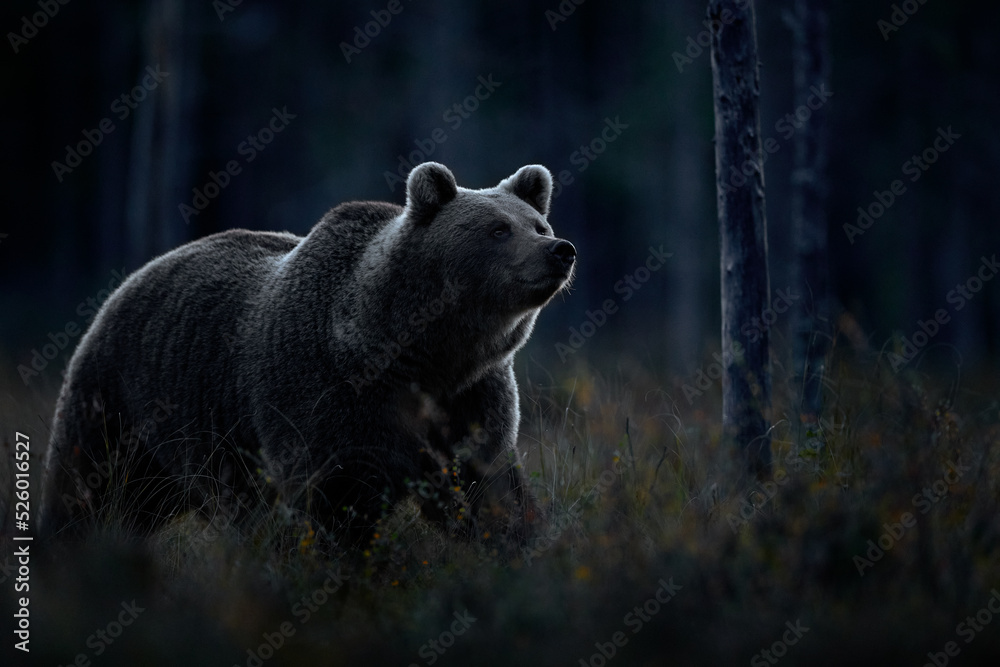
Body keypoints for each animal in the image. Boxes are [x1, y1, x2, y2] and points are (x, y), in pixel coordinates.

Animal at [40, 162, 576, 551]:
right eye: (498, 230)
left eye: (537, 223)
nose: (560, 248)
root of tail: (134, 276)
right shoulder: (325, 398)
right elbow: (336, 503)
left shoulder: (470, 396)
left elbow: (486, 485)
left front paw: (522, 544)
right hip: (119, 398)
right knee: (87, 488)